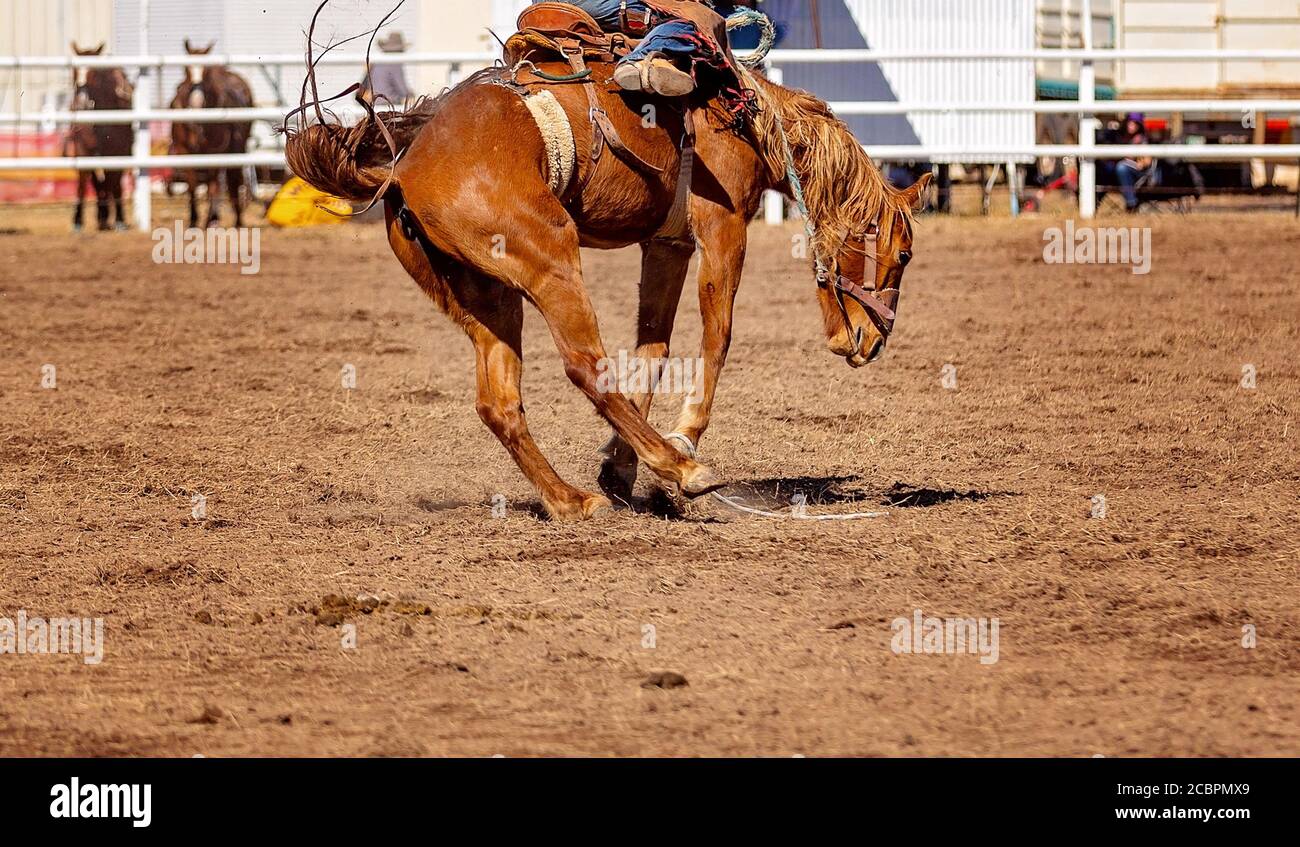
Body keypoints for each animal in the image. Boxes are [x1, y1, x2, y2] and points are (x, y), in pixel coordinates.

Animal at [67, 43, 134, 231]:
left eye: (94, 73)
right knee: (98, 183)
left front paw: (119, 219)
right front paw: (77, 220)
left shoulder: (118, 151)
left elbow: (115, 183)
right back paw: (102, 217)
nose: (82, 104)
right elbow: (82, 184)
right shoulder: (83, 150)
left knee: (109, 182)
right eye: (74, 71)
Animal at [170, 40, 255, 227]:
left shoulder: (215, 151)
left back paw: (224, 218)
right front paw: (193, 220)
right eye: (185, 70)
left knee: (224, 181)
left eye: (207, 73)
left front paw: (211, 218)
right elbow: (192, 184)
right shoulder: (184, 151)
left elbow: (213, 185)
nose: (196, 102)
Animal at [284, 13, 930, 522]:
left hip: (486, 297)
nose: (874, 339)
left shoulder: (667, 246)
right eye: (902, 254)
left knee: (500, 401)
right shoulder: (722, 228)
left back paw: (572, 500)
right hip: (550, 261)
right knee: (582, 365)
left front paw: (619, 471)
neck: (742, 117)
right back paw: (680, 468)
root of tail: (403, 168)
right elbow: (716, 335)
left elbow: (652, 349)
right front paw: (681, 442)